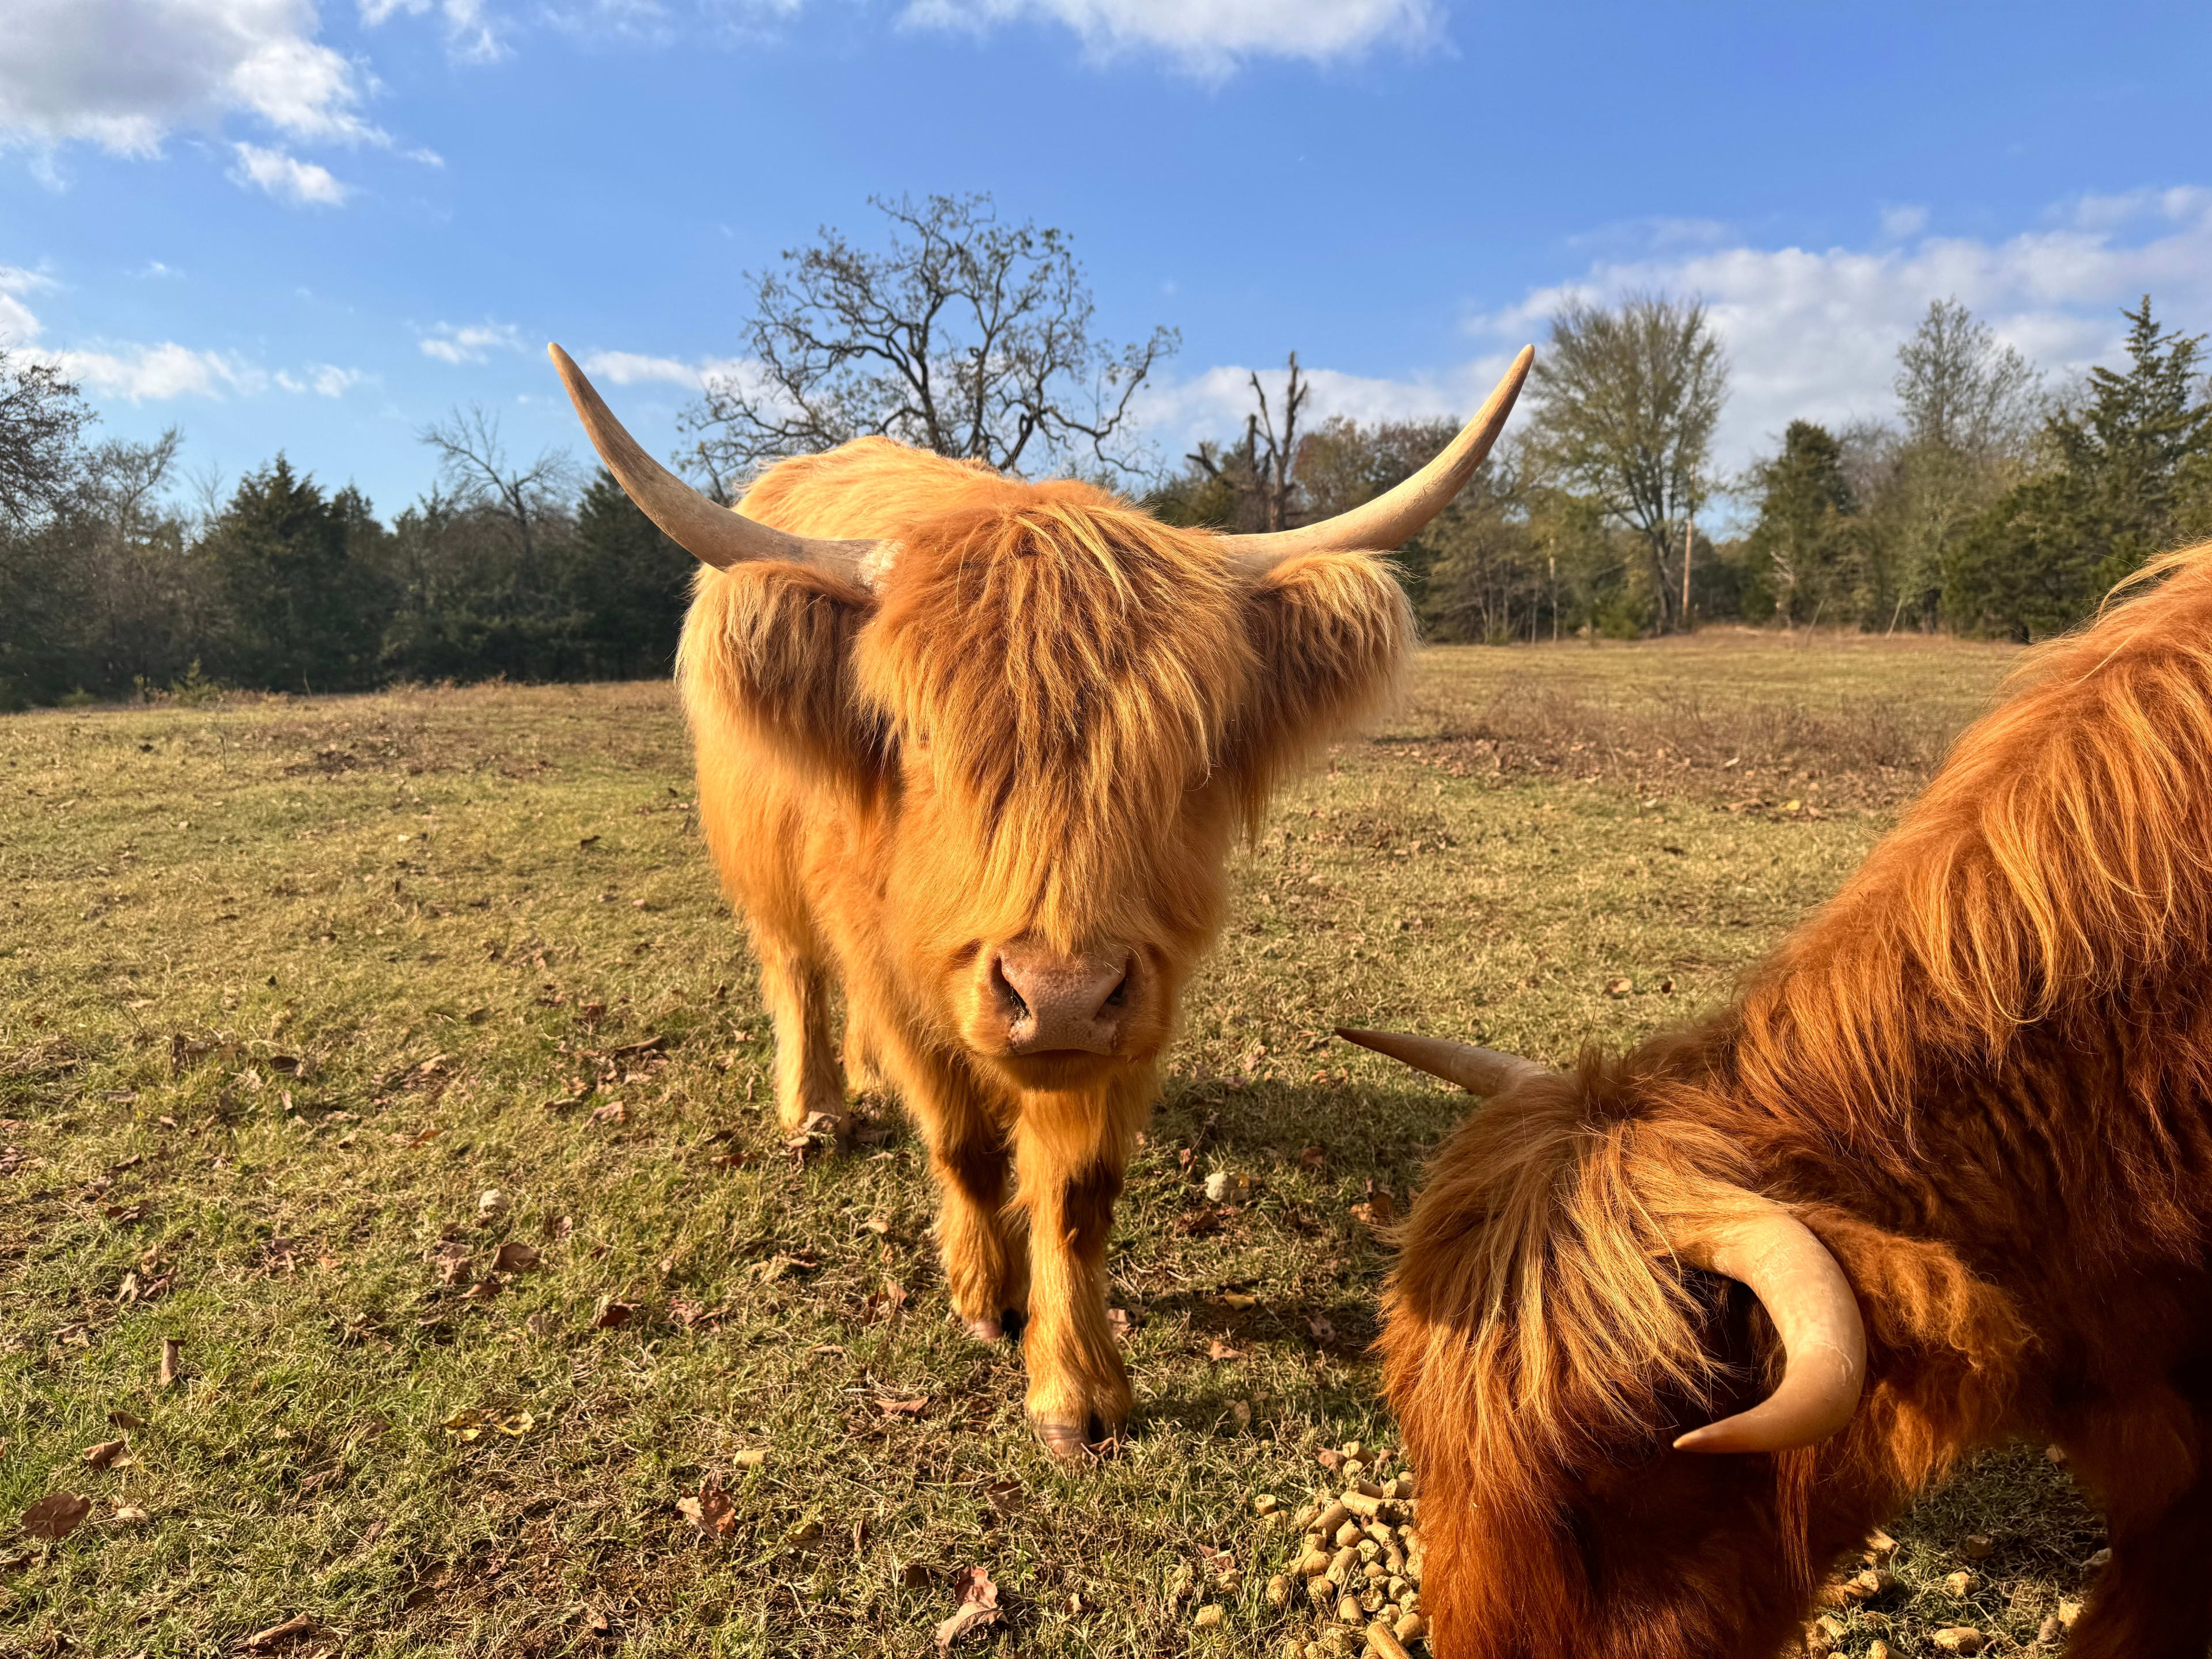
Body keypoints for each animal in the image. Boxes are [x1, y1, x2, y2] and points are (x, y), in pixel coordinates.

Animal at [547, 341, 1532, 1455]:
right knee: (795, 968)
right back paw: (819, 1109)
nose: (1056, 997)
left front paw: (1076, 1388)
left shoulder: (1138, 1002)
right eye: (917, 735)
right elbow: (965, 1144)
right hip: (765, 863)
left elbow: (1074, 1194)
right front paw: (987, 1297)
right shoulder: (898, 971)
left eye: (1189, 752)